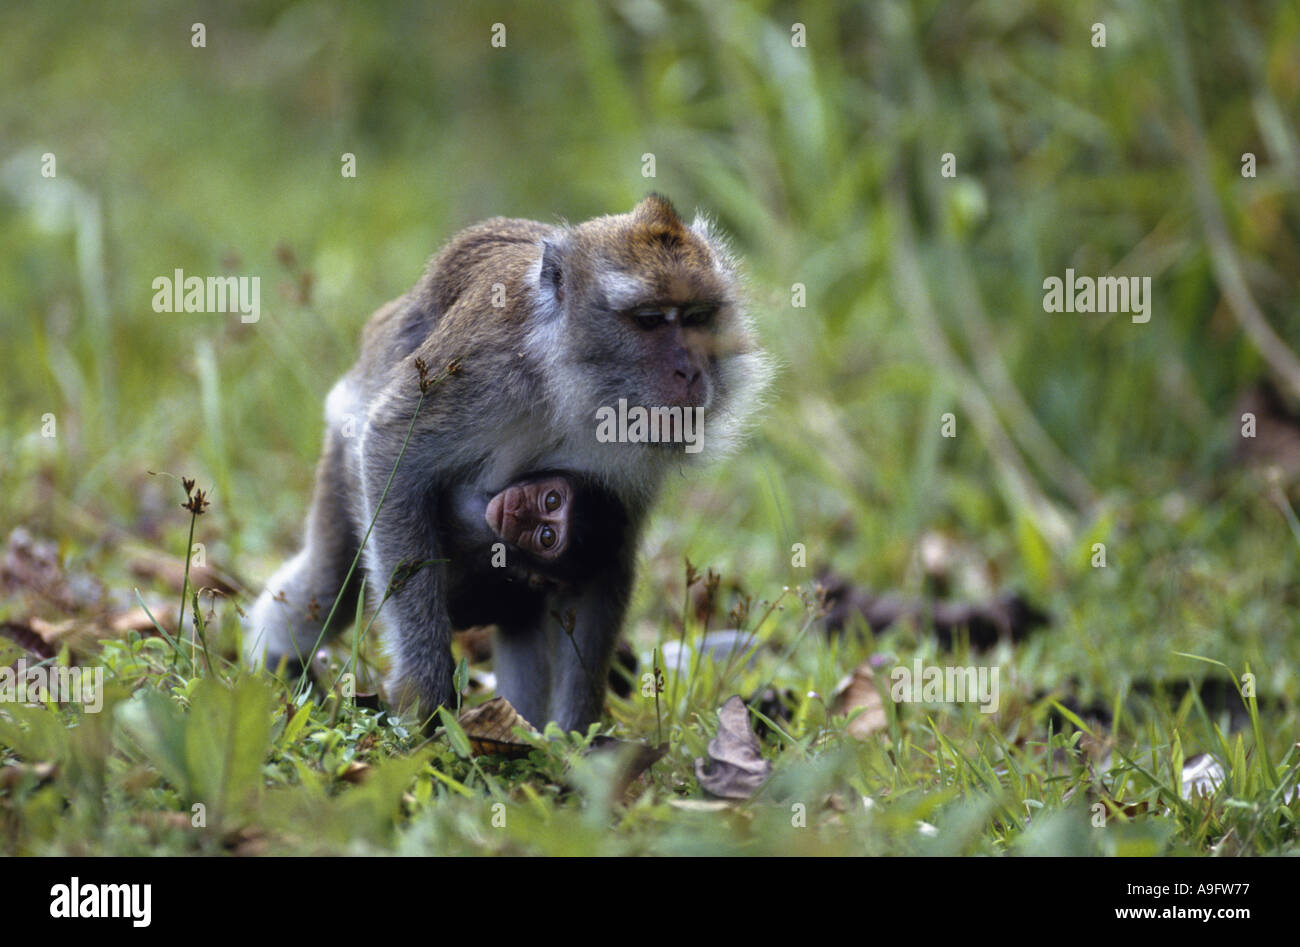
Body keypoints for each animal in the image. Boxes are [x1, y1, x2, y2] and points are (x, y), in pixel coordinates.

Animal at [243, 195, 770, 731]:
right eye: (650, 319)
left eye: (698, 317)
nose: (691, 370)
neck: (572, 380)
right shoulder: (483, 364)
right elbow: (392, 448)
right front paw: (426, 693)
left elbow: (607, 563)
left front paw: (575, 735)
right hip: (339, 451)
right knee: (330, 584)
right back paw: (274, 669)